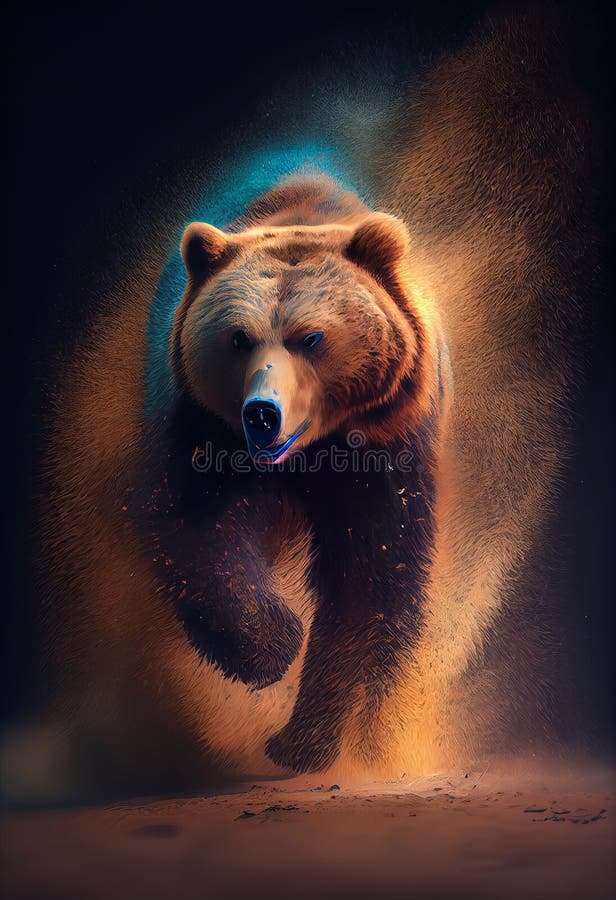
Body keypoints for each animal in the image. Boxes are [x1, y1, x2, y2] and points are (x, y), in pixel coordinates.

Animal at [27, 8, 601, 800]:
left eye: (313, 337)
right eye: (238, 338)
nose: (262, 413)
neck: (313, 451)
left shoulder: (388, 448)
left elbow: (370, 577)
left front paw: (304, 738)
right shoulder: (201, 429)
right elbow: (201, 533)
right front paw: (270, 644)